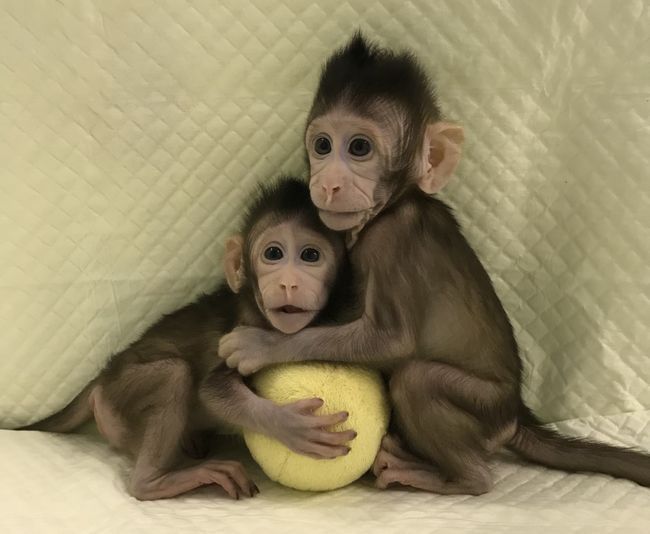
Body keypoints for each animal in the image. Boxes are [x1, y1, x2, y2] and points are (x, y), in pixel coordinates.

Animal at [20, 176, 357, 501]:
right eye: (273, 253)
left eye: (310, 255)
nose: (288, 283)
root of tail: (103, 377)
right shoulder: (241, 328)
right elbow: (213, 389)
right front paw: (290, 425)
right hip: (120, 393)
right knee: (174, 373)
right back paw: (154, 482)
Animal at [218, 34, 650, 495]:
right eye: (322, 146)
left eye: (359, 147)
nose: (329, 183)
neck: (397, 202)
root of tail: (515, 414)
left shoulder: (392, 240)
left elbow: (391, 341)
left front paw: (262, 344)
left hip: (482, 407)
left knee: (418, 381)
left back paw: (452, 476)